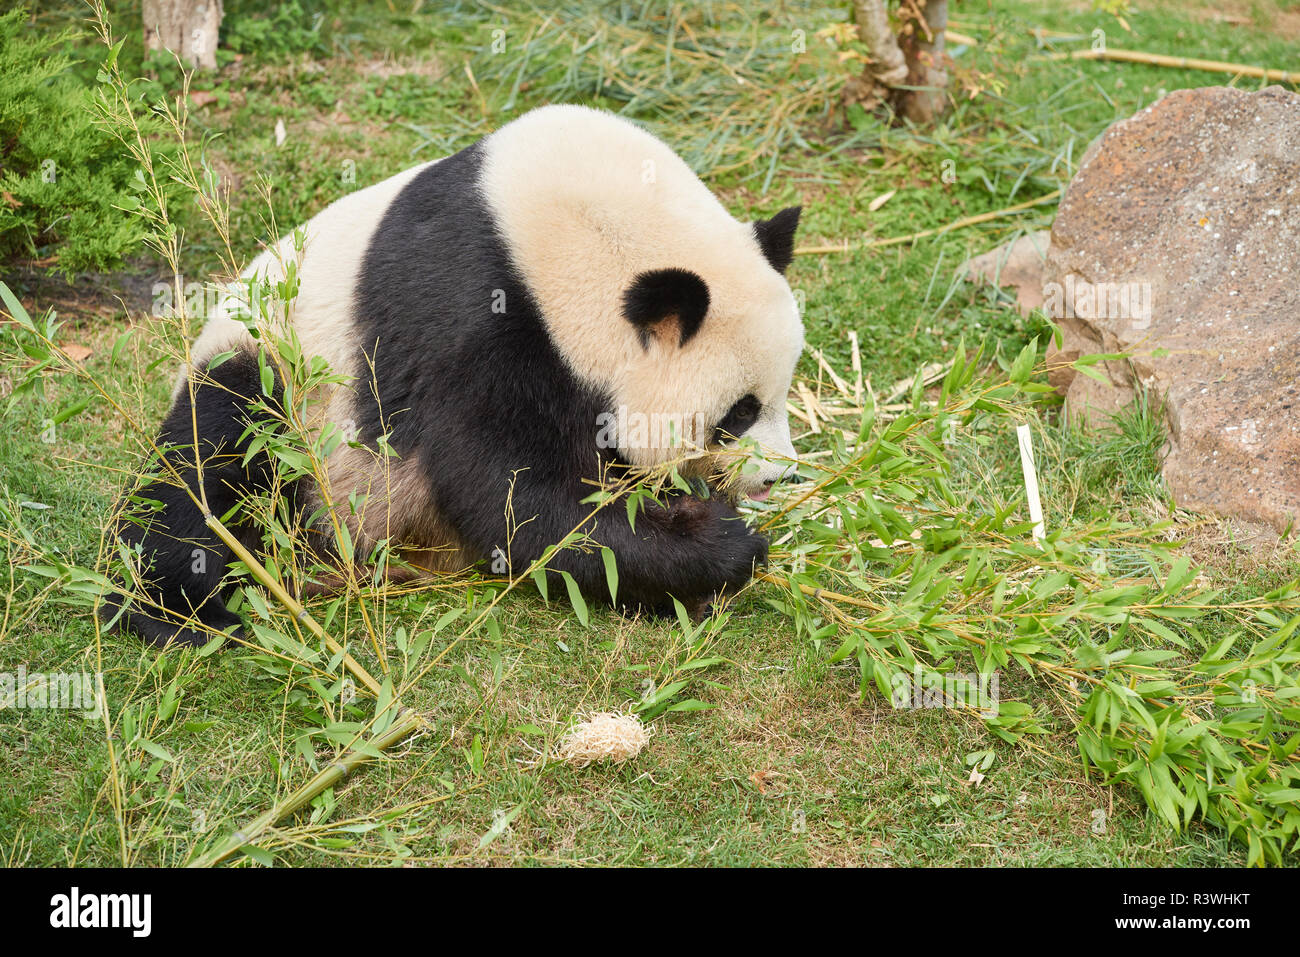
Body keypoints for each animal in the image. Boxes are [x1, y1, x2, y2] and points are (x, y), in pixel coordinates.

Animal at [108, 104, 805, 647]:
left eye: (782, 394)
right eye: (739, 412)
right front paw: (720, 543)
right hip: (278, 378)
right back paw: (178, 614)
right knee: (206, 467)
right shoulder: (476, 317)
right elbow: (514, 497)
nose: (778, 477)